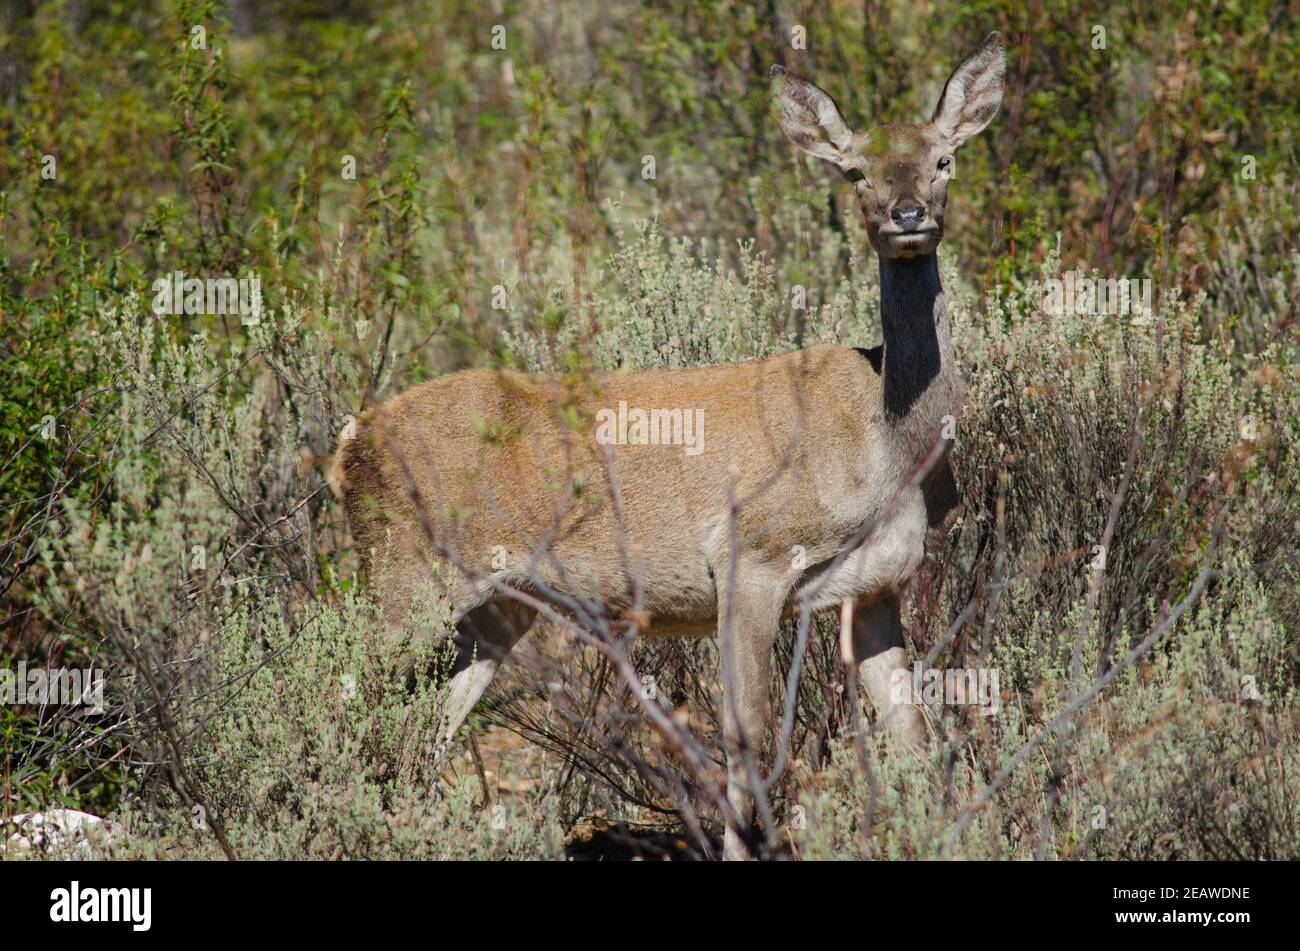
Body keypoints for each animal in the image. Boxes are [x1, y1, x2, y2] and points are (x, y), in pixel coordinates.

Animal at [328, 32, 1004, 860]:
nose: (907, 216)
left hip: (495, 606)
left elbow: (914, 736)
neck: (888, 448)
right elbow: (746, 739)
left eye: (945, 158)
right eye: (854, 171)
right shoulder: (751, 554)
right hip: (402, 575)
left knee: (423, 732)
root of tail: (350, 443)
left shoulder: (875, 588)